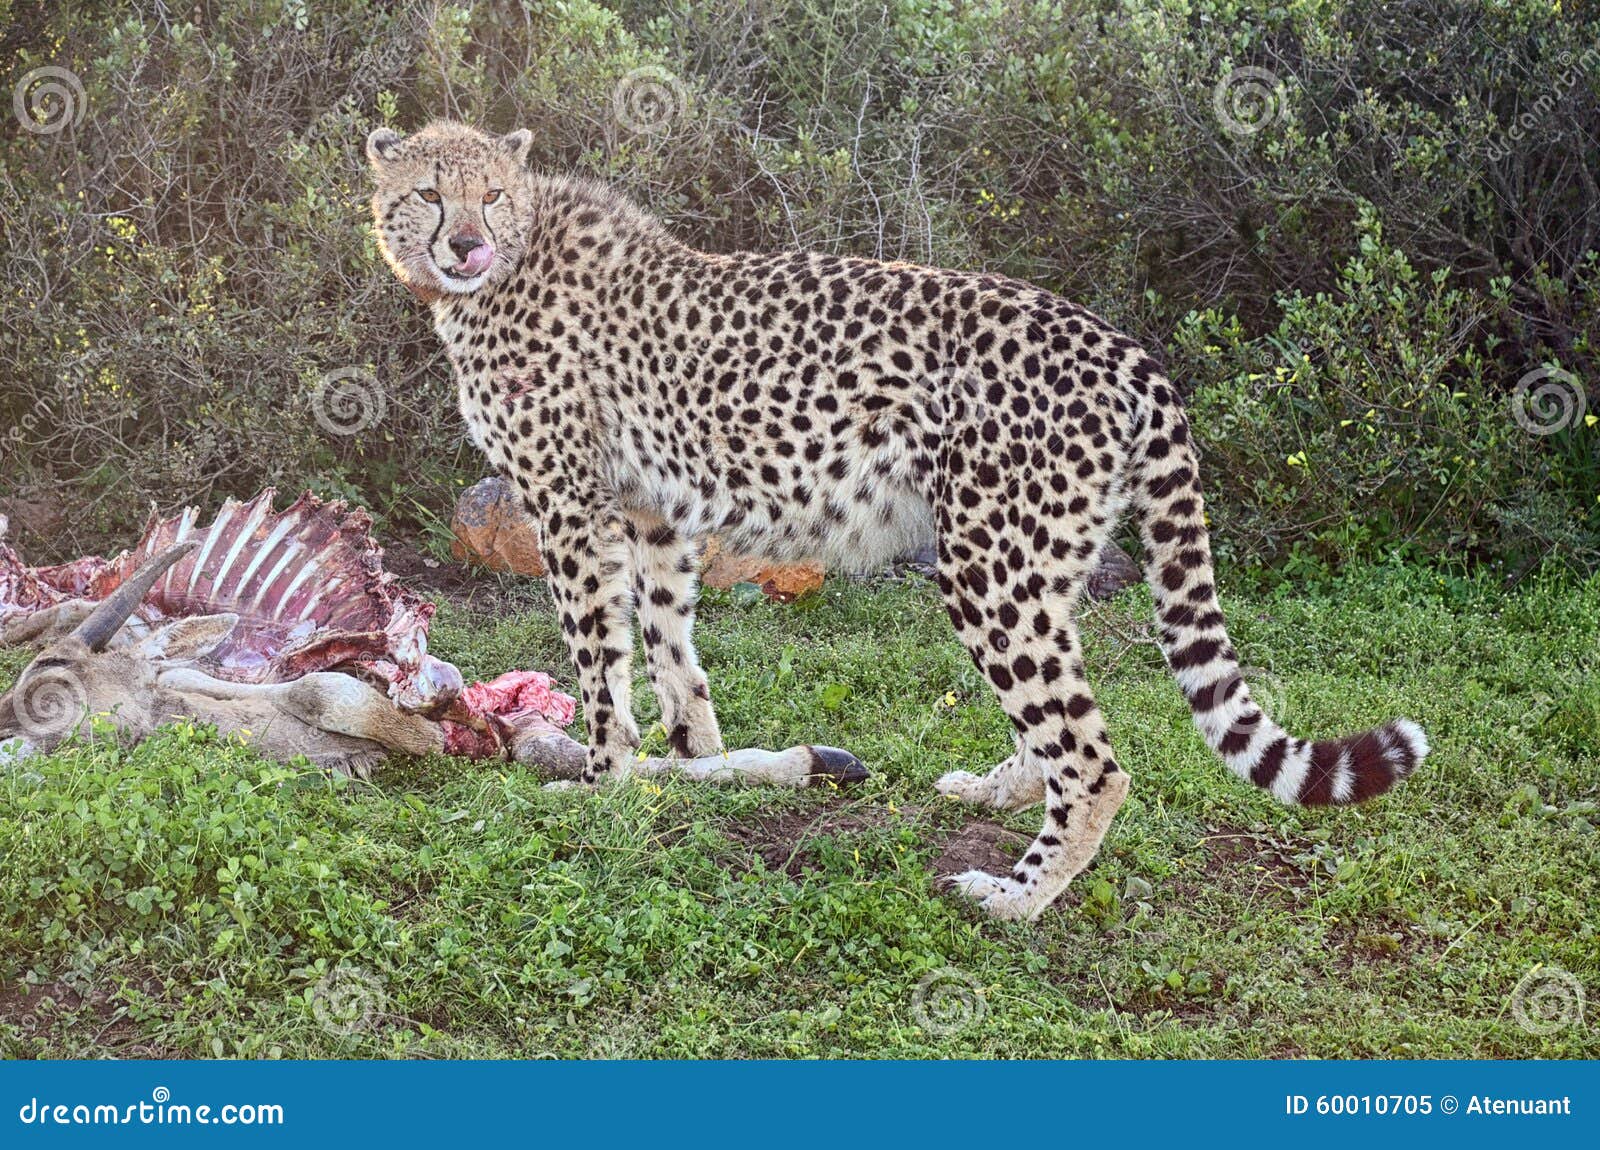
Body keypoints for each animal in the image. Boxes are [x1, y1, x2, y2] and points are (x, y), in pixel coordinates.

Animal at [366, 120, 1430, 921]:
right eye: (429, 194)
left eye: (490, 195)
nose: (464, 245)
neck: (505, 269)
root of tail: (1123, 345)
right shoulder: (654, 508)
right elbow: (671, 645)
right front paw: (695, 760)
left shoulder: (570, 506)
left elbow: (598, 655)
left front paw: (602, 779)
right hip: (1042, 559)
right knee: (1061, 716)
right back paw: (998, 789)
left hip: (987, 563)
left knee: (1094, 761)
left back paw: (1015, 898)